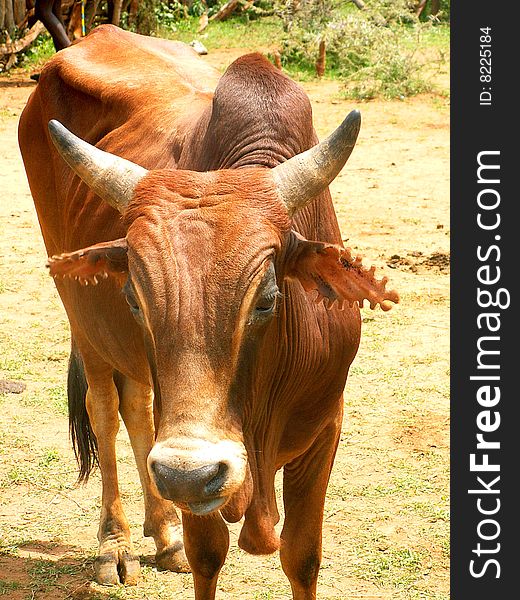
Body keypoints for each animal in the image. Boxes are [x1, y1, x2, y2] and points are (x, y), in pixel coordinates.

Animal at [17, 24, 398, 600]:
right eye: (134, 297)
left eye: (267, 299)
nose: (187, 475)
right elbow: (209, 554)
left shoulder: (325, 427)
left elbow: (302, 557)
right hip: (84, 323)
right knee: (104, 409)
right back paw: (115, 545)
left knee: (138, 408)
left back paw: (163, 535)